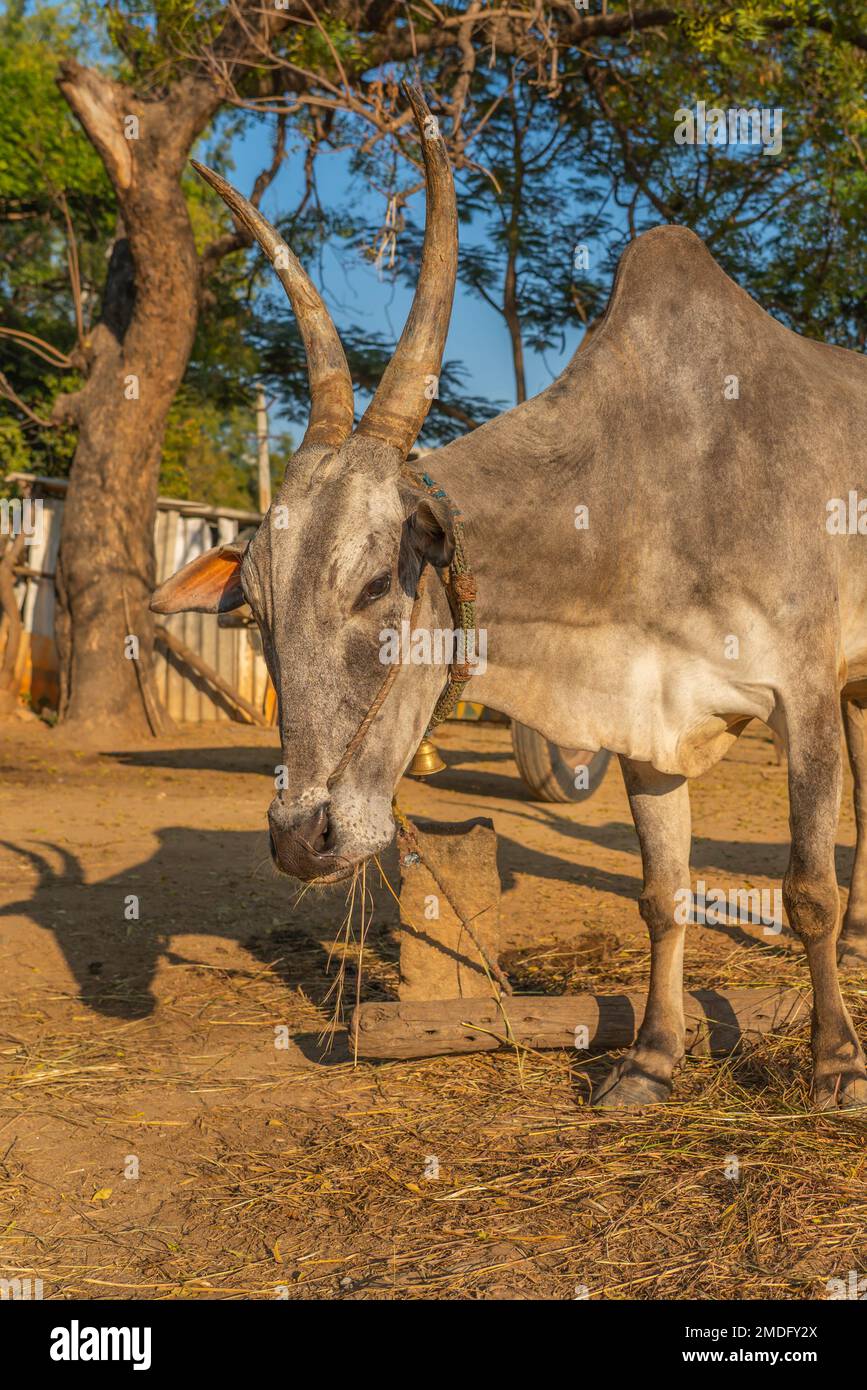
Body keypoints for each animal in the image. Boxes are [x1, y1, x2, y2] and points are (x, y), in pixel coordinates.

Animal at [152, 87, 867, 1112]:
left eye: (378, 580)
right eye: (252, 607)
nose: (300, 835)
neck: (652, 490)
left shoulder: (800, 695)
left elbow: (808, 888)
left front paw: (836, 1064)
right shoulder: (649, 722)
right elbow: (661, 895)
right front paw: (649, 1060)